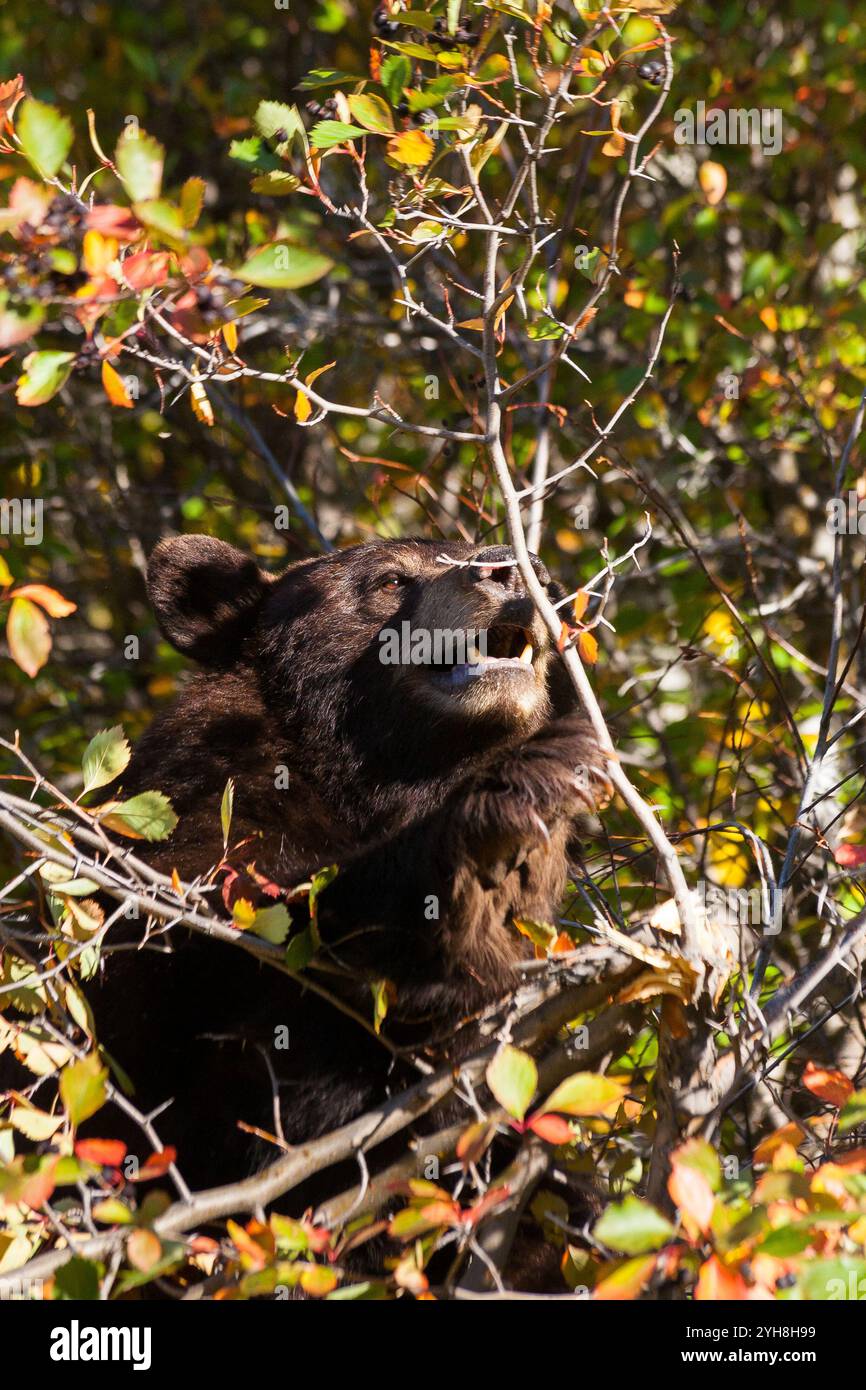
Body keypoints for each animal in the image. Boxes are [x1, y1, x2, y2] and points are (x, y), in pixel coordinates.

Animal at [87, 533, 607, 1223]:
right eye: (391, 579)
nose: (517, 571)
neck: (372, 776)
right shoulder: (208, 799)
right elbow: (254, 926)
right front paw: (518, 794)